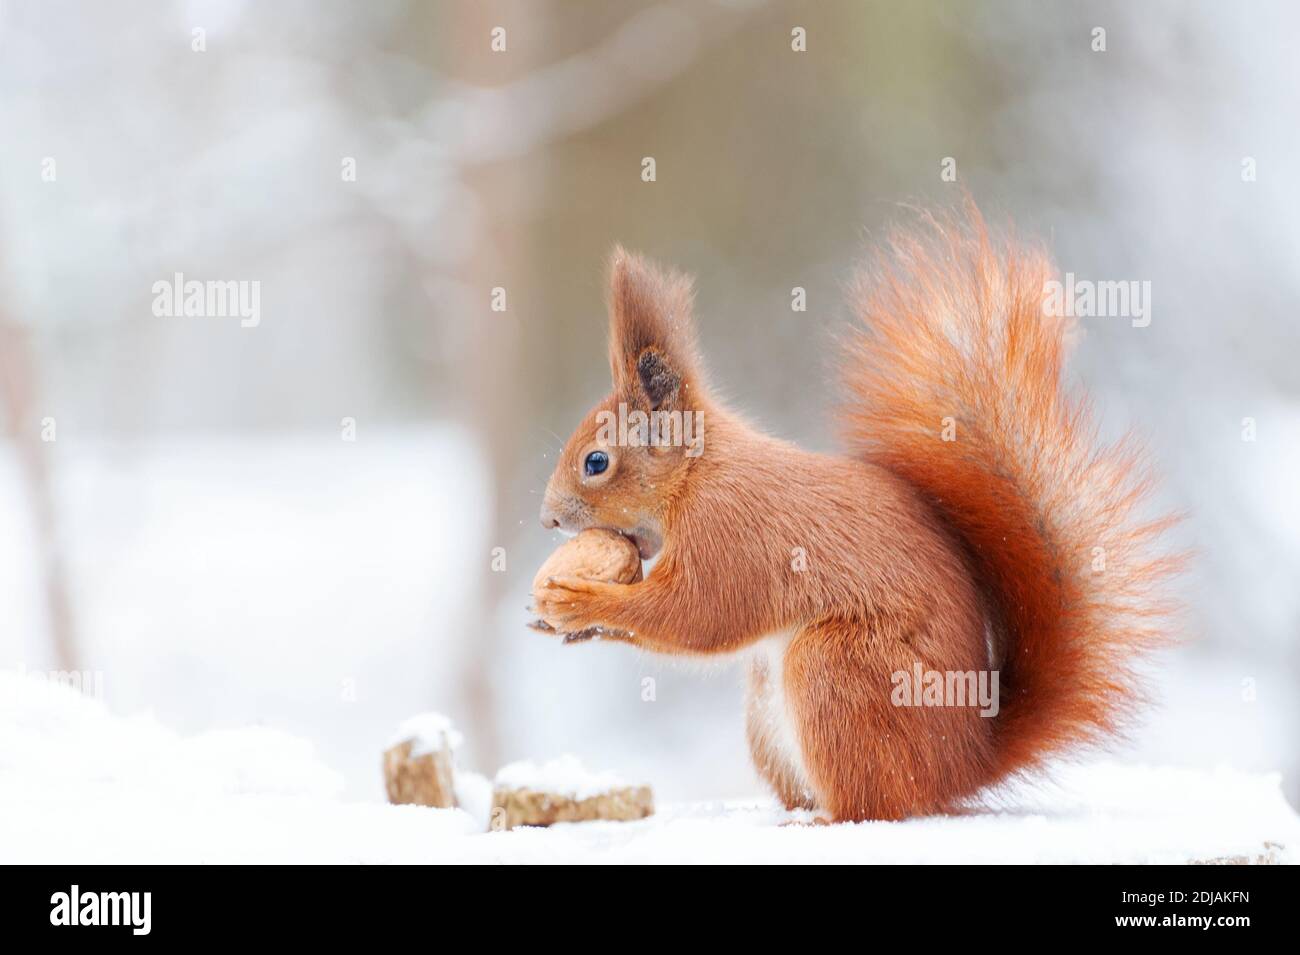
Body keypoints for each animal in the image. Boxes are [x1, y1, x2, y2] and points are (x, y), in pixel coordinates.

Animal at [534, 203, 1181, 822]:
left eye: (596, 462)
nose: (548, 521)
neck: (696, 478)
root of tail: (964, 765)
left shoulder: (732, 532)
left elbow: (697, 615)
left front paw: (579, 601)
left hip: (837, 671)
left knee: (874, 806)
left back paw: (823, 821)